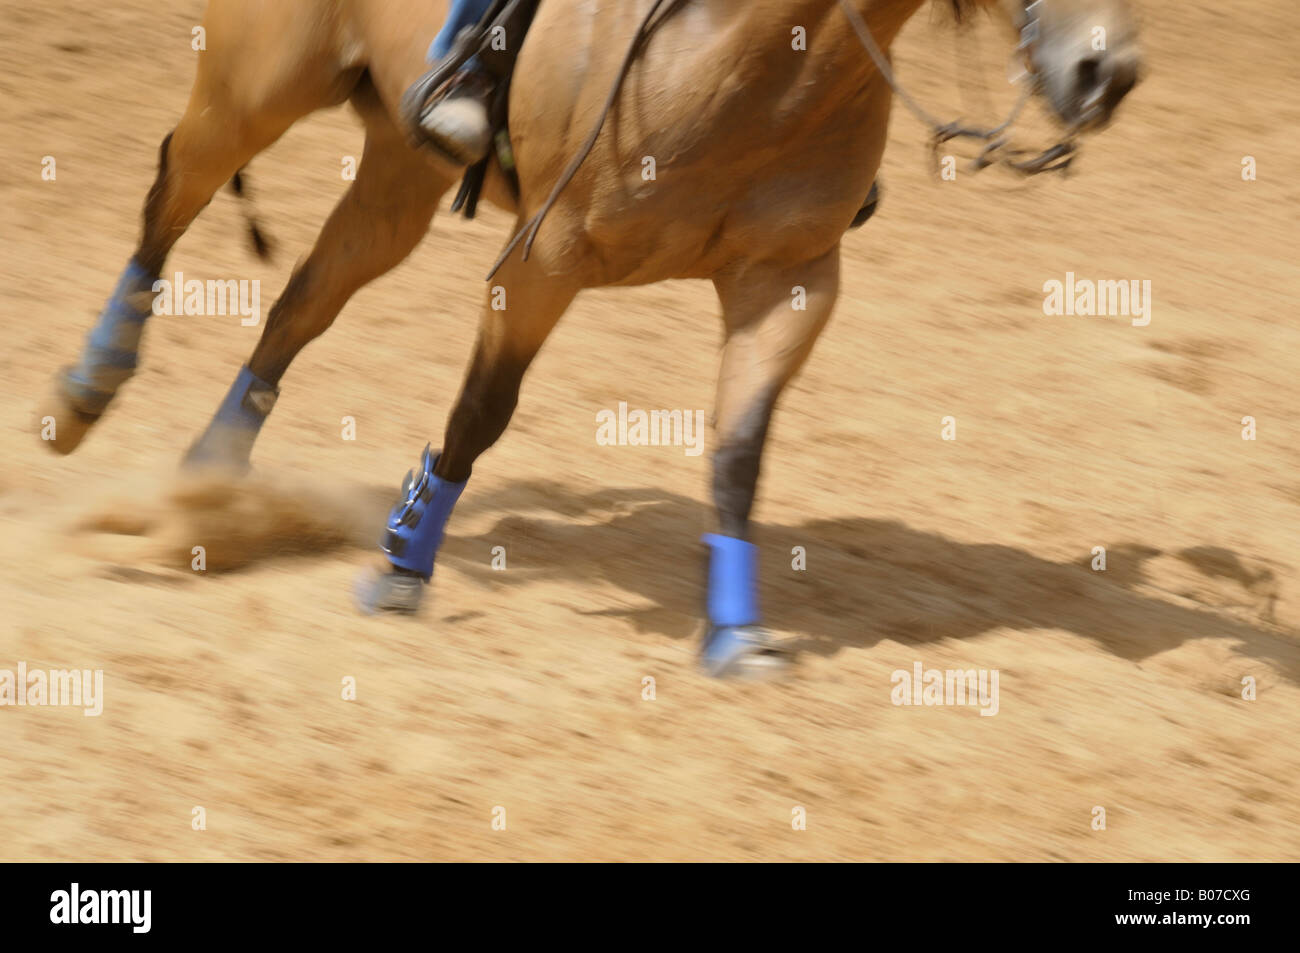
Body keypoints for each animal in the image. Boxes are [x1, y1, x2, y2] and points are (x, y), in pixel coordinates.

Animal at [43, 0, 1142, 677]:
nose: (1110, 72)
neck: (756, 52)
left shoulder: (790, 282)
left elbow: (738, 454)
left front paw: (735, 634)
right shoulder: (543, 259)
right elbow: (478, 417)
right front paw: (402, 565)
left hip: (399, 165)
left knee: (298, 307)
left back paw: (209, 479)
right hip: (253, 88)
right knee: (168, 199)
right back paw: (85, 390)